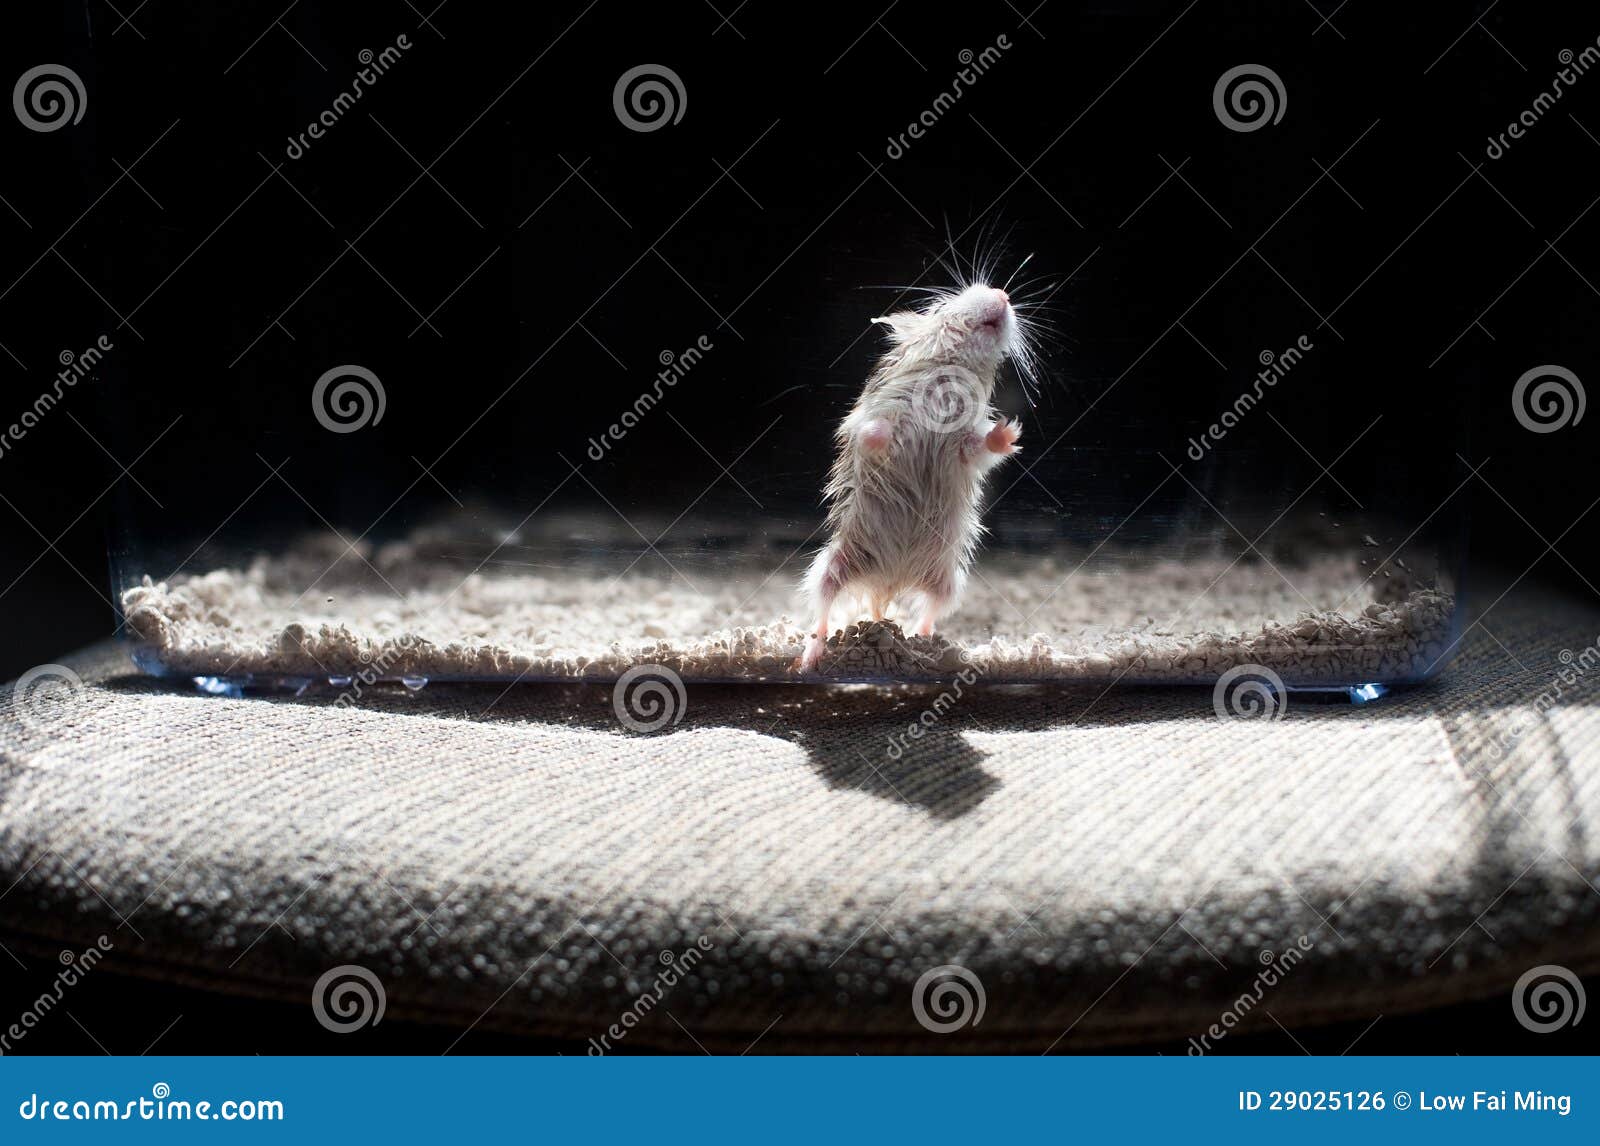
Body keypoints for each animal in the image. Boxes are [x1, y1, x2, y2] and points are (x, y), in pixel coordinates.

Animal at [800, 281, 1036, 671]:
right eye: (943, 308)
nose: (1002, 294)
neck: (949, 374)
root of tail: (887, 584)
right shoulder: (881, 411)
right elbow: (872, 429)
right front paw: (880, 435)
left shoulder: (963, 444)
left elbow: (980, 446)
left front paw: (1008, 431)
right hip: (830, 565)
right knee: (822, 609)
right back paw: (808, 659)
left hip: (949, 580)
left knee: (931, 609)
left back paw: (926, 641)